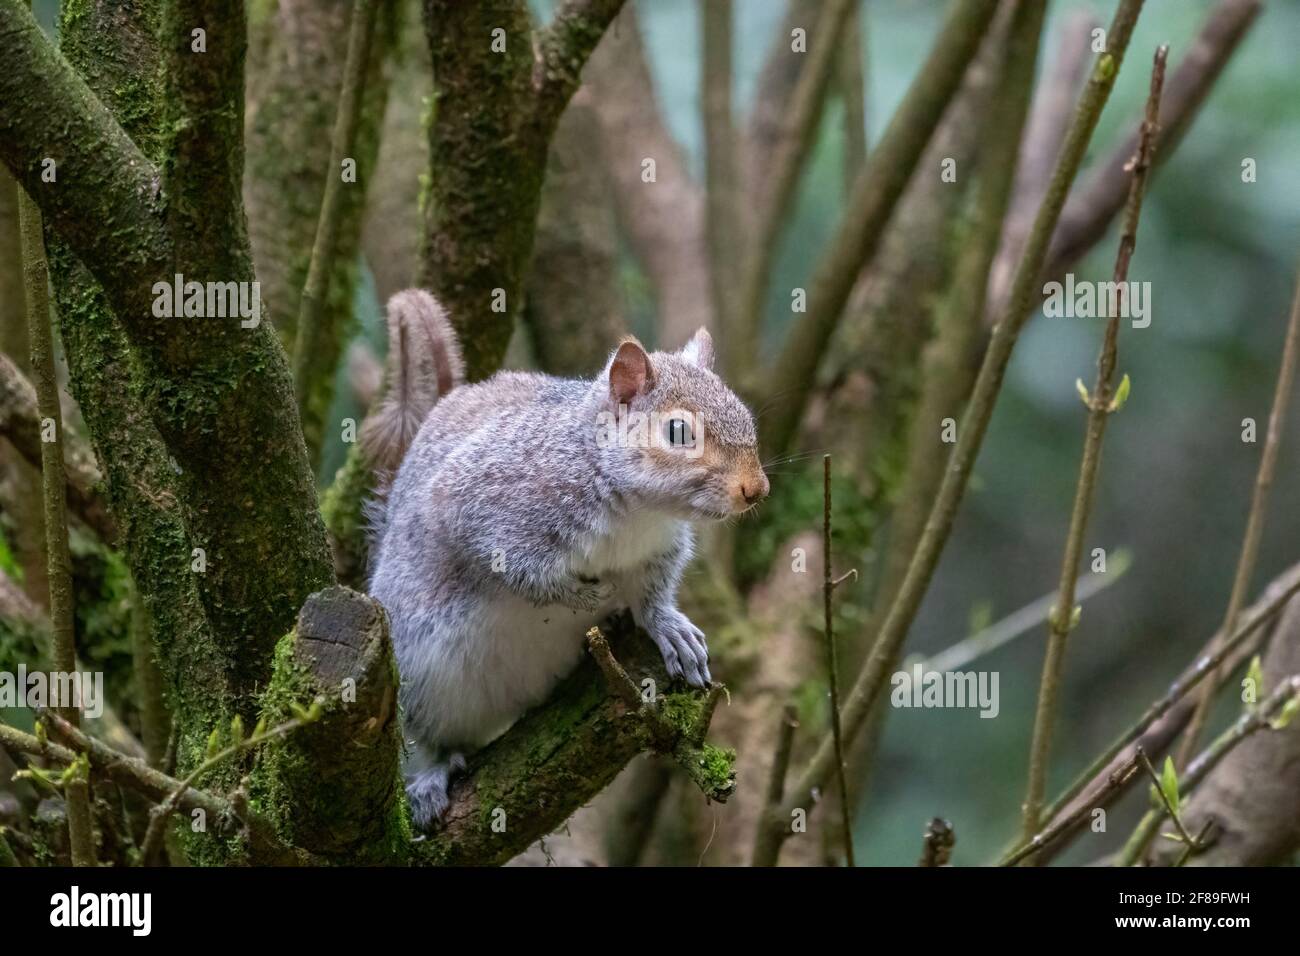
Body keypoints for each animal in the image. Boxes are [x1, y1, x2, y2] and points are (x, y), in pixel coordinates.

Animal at [364, 289, 769, 828]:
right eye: (679, 432)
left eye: (745, 415)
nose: (756, 489)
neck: (638, 510)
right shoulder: (485, 507)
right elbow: (525, 574)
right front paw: (588, 596)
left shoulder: (660, 548)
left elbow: (654, 592)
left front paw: (667, 627)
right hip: (415, 671)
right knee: (424, 735)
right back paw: (430, 775)